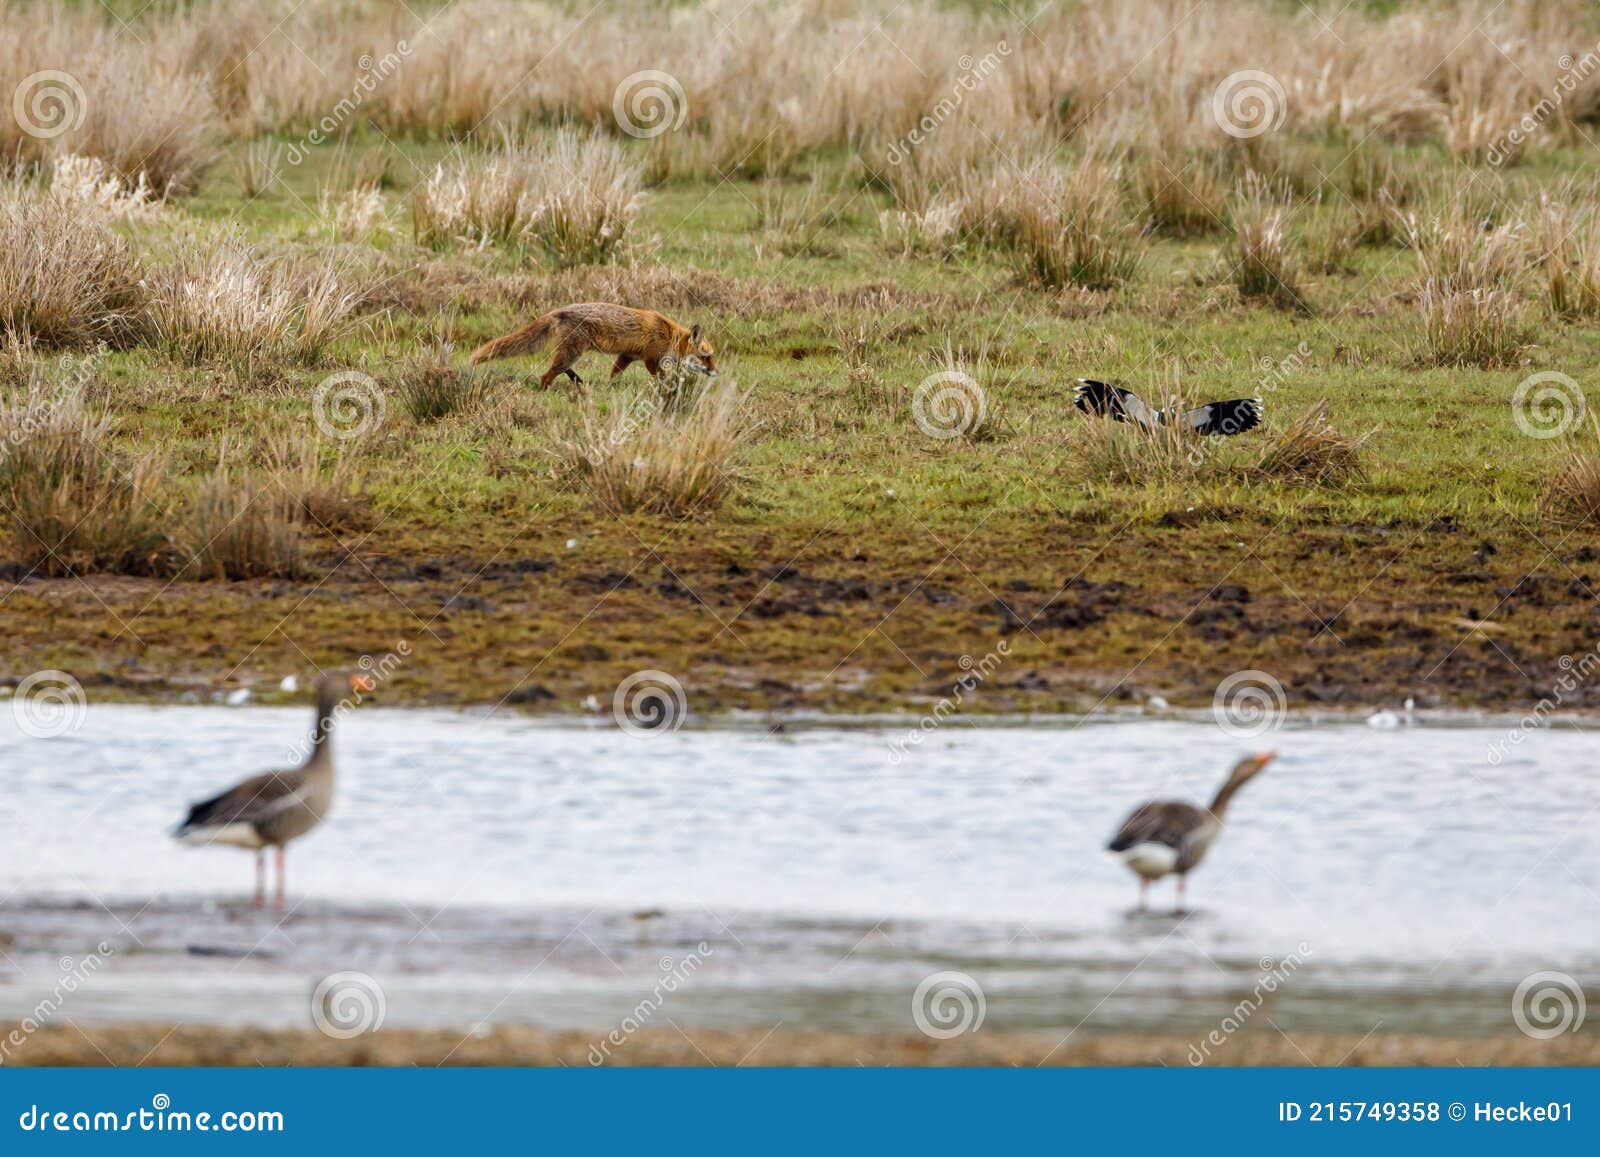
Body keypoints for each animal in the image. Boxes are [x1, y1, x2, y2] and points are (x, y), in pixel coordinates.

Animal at [467, 302, 717, 388]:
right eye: (706, 357)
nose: (717, 373)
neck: (668, 334)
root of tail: (558, 310)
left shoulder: (627, 356)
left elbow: (614, 373)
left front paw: (610, 387)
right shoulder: (651, 359)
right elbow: (662, 378)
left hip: (568, 353)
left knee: (559, 368)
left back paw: (577, 380)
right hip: (572, 352)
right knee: (546, 376)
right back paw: (546, 390)